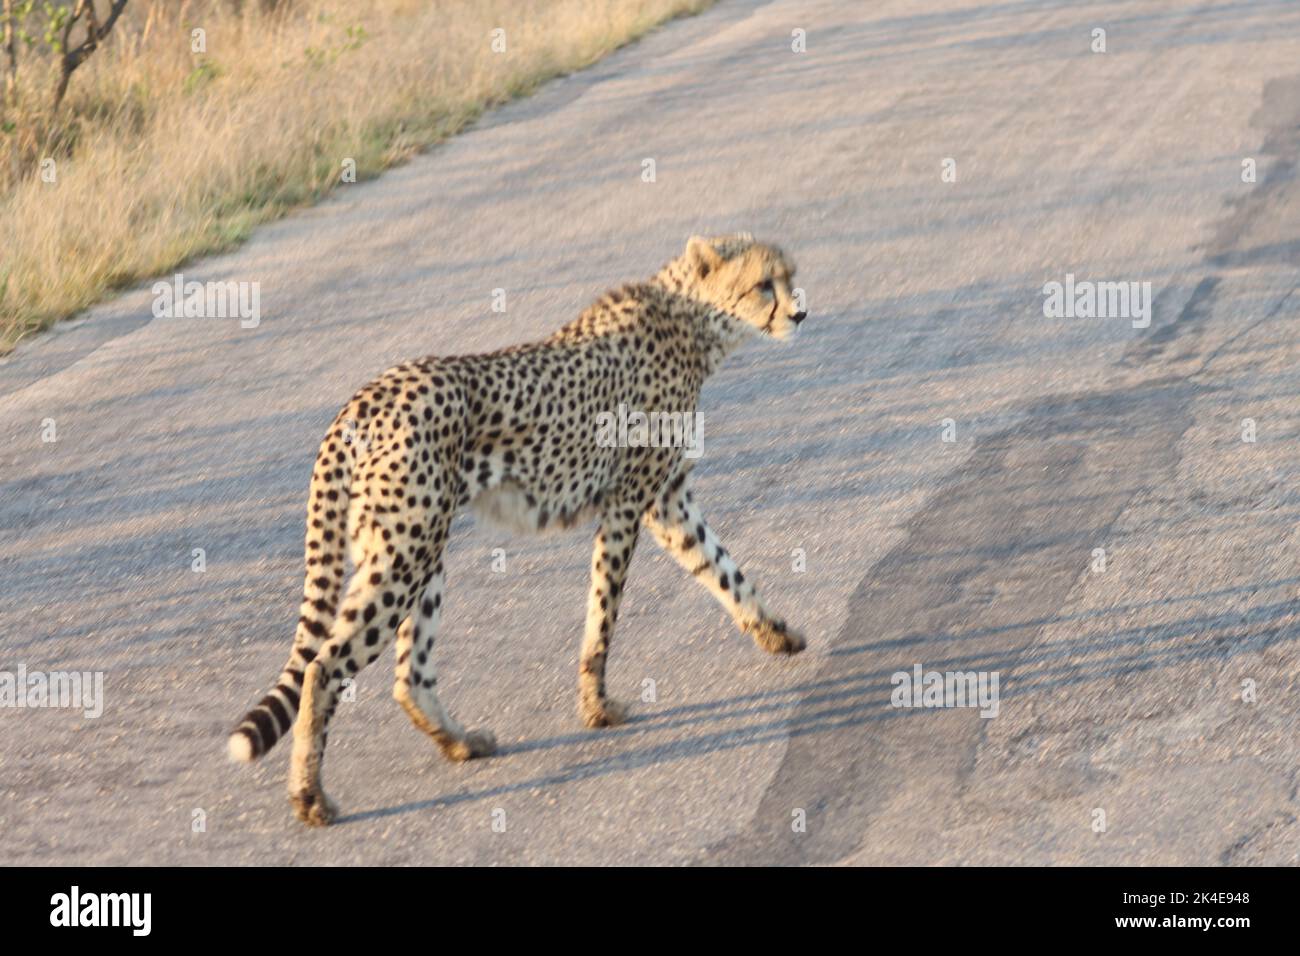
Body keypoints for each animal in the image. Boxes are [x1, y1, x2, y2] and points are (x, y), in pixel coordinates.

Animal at [227, 233, 809, 825]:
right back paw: (309, 796)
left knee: (408, 675)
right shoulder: (630, 503)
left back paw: (460, 742)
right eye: (764, 284)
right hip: (405, 554)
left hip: (415, 551)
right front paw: (598, 707)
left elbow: (724, 569)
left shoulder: (668, 500)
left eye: (788, 277)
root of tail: (366, 396)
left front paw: (776, 632)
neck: (693, 320)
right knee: (322, 668)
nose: (799, 313)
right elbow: (604, 613)